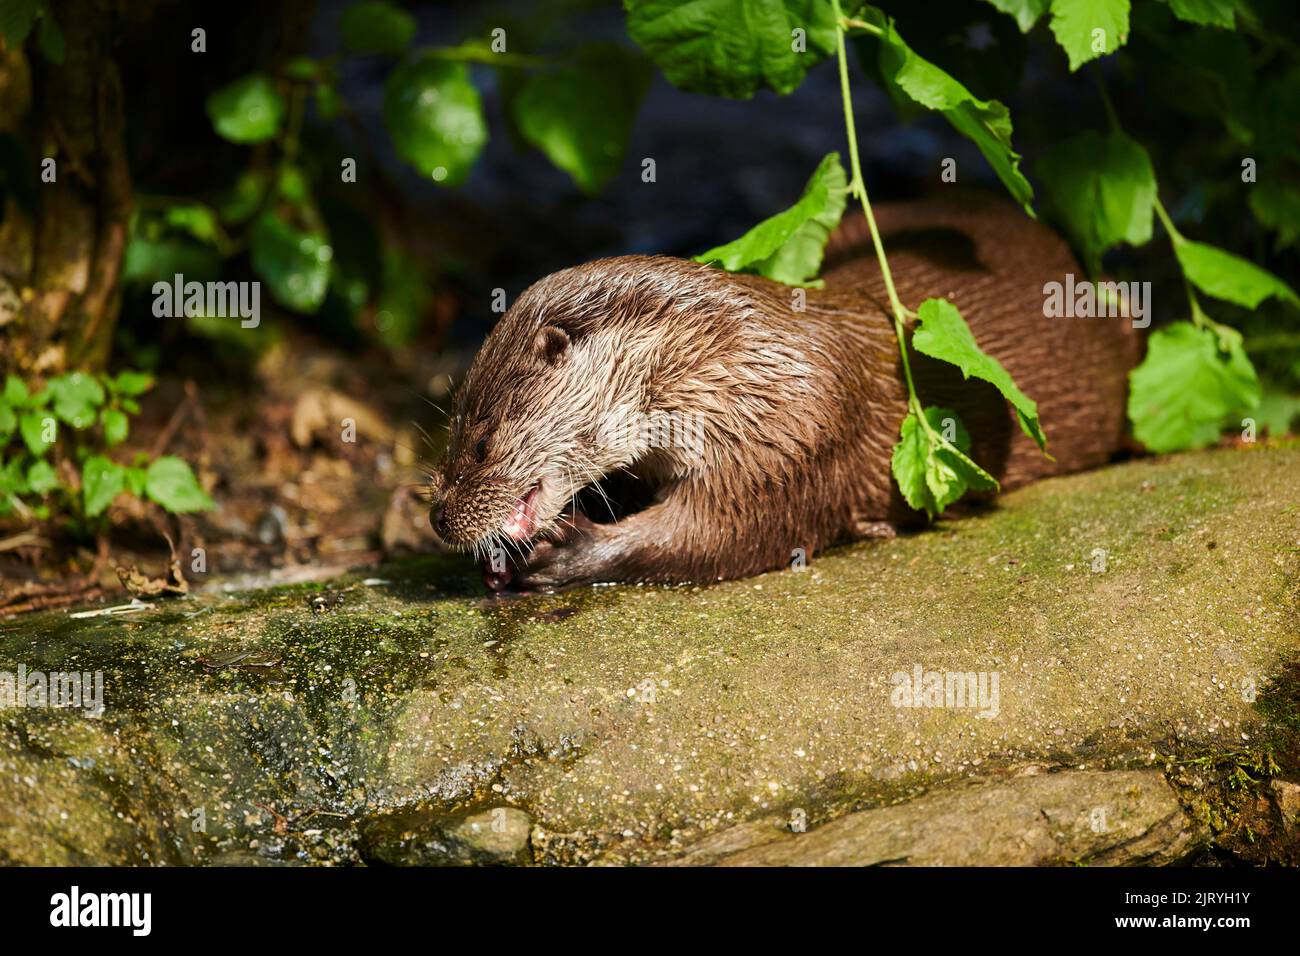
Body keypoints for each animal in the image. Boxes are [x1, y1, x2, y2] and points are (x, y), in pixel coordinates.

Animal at [427, 194, 1140, 591]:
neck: (728, 365)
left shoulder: (793, 433)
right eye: (451, 430)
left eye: (480, 442)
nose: (438, 517)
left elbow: (714, 536)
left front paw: (569, 549)